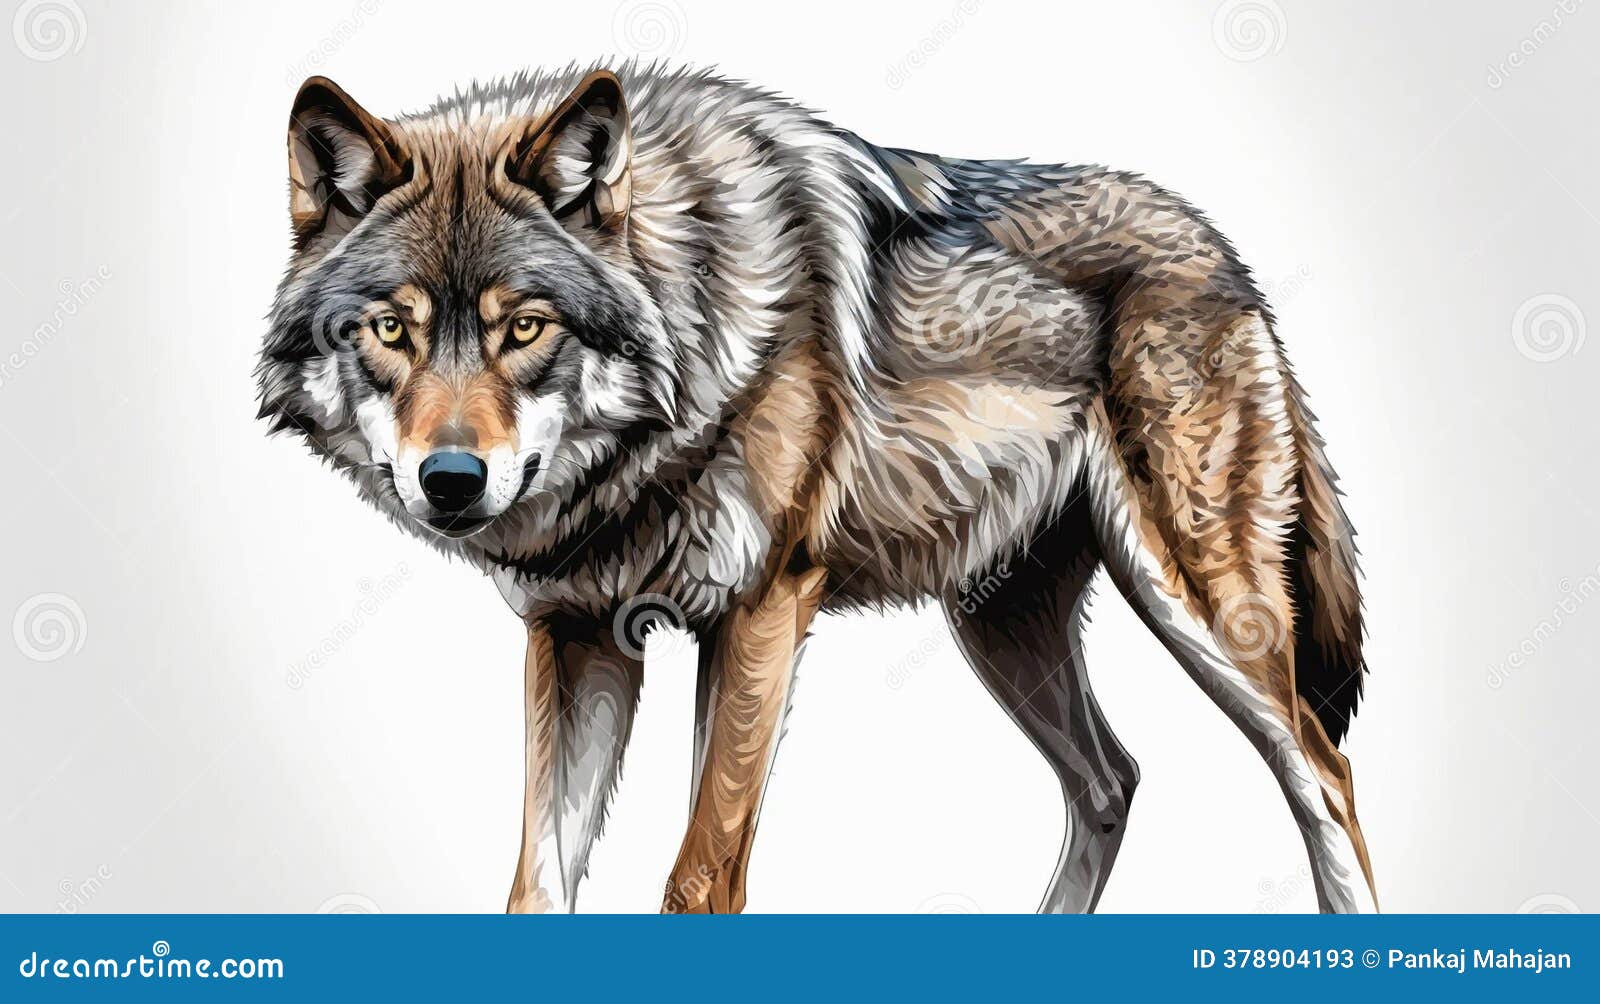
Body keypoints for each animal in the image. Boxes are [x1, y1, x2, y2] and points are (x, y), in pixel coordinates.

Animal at [257, 63, 1375, 913]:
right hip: (1000, 627)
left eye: (523, 326)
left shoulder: (760, 610)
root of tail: (1221, 250)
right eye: (391, 329)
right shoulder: (577, 635)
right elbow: (540, 883)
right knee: (1112, 779)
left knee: (1324, 775)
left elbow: (699, 876)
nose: (450, 480)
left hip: (1205, 608)